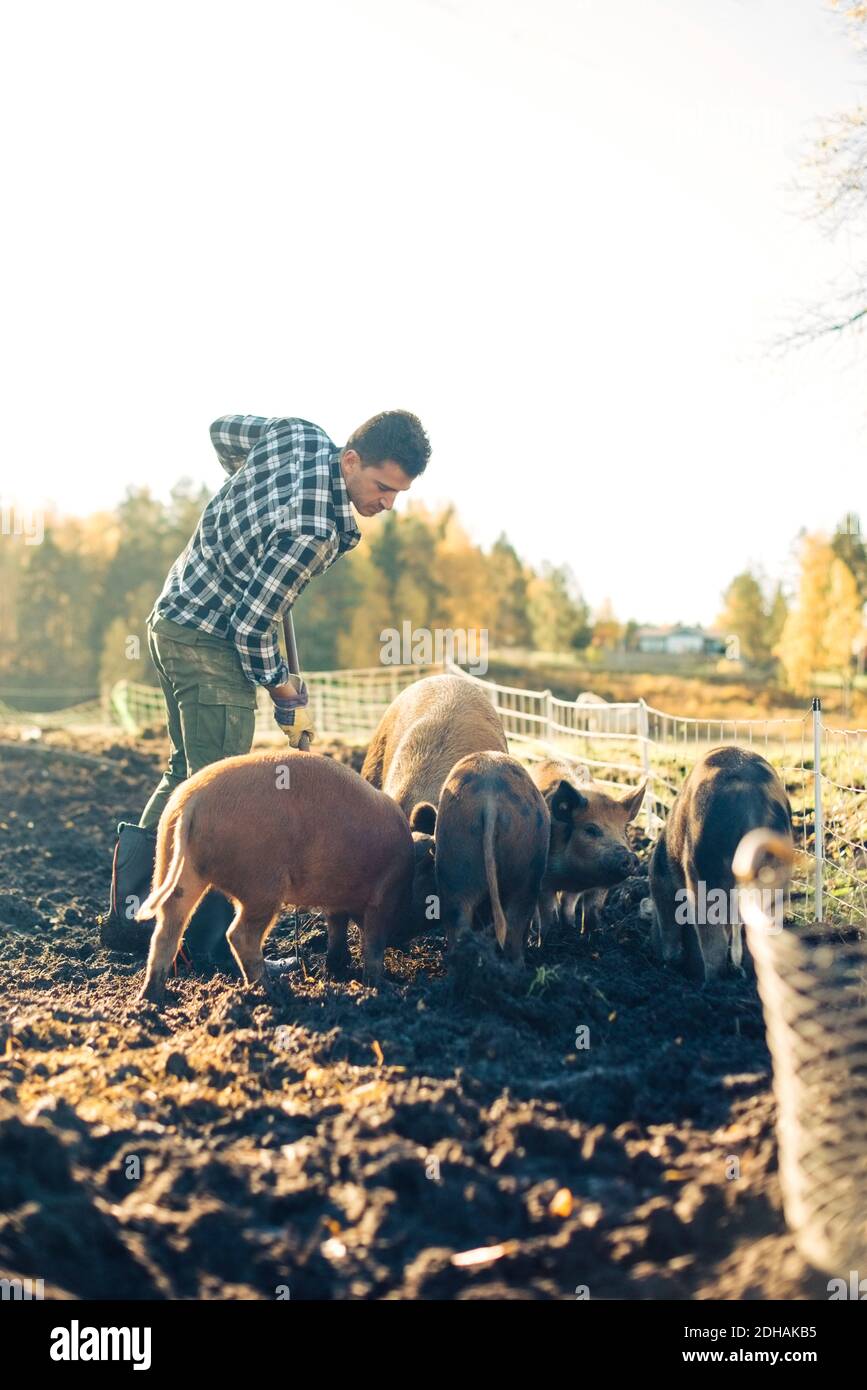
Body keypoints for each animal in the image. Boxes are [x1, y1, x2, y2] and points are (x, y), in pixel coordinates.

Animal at [136, 750, 436, 1006]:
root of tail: (193, 800)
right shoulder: (383, 895)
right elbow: (373, 944)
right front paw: (385, 987)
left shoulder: (337, 900)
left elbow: (336, 927)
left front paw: (337, 969)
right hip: (261, 884)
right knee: (239, 935)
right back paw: (272, 992)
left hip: (173, 866)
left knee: (166, 929)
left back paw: (151, 998)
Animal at [531, 758, 647, 938]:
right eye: (590, 829)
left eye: (625, 831)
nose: (628, 855)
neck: (576, 876)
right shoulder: (544, 883)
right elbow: (547, 916)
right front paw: (545, 940)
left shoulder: (599, 888)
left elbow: (592, 913)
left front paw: (589, 937)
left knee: (567, 903)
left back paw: (569, 926)